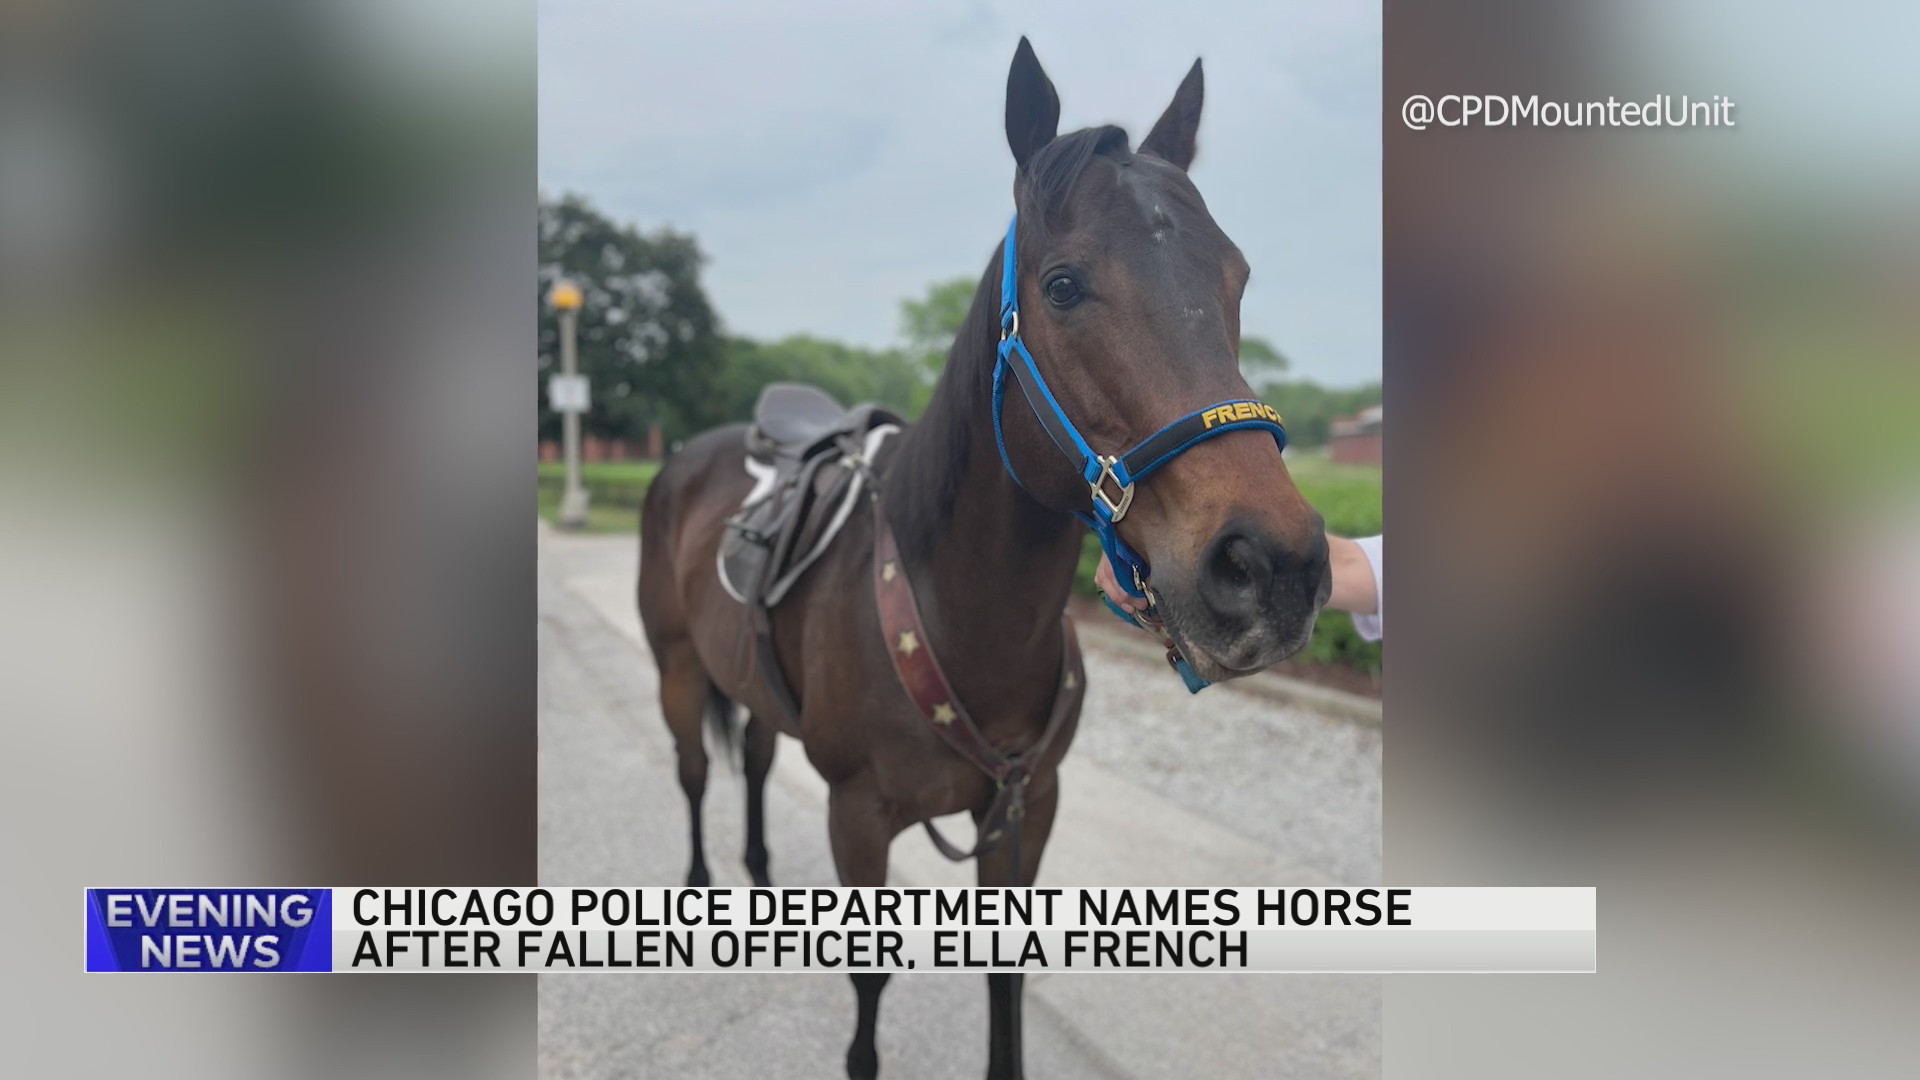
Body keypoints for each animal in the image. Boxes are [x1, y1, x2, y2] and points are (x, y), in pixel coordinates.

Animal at [637, 37, 1331, 1080]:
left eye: (1236, 277)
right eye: (1063, 284)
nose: (1272, 568)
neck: (958, 616)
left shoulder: (1023, 812)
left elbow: (1007, 977)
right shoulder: (859, 819)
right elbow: (871, 984)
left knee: (753, 758)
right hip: (677, 669)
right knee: (692, 773)